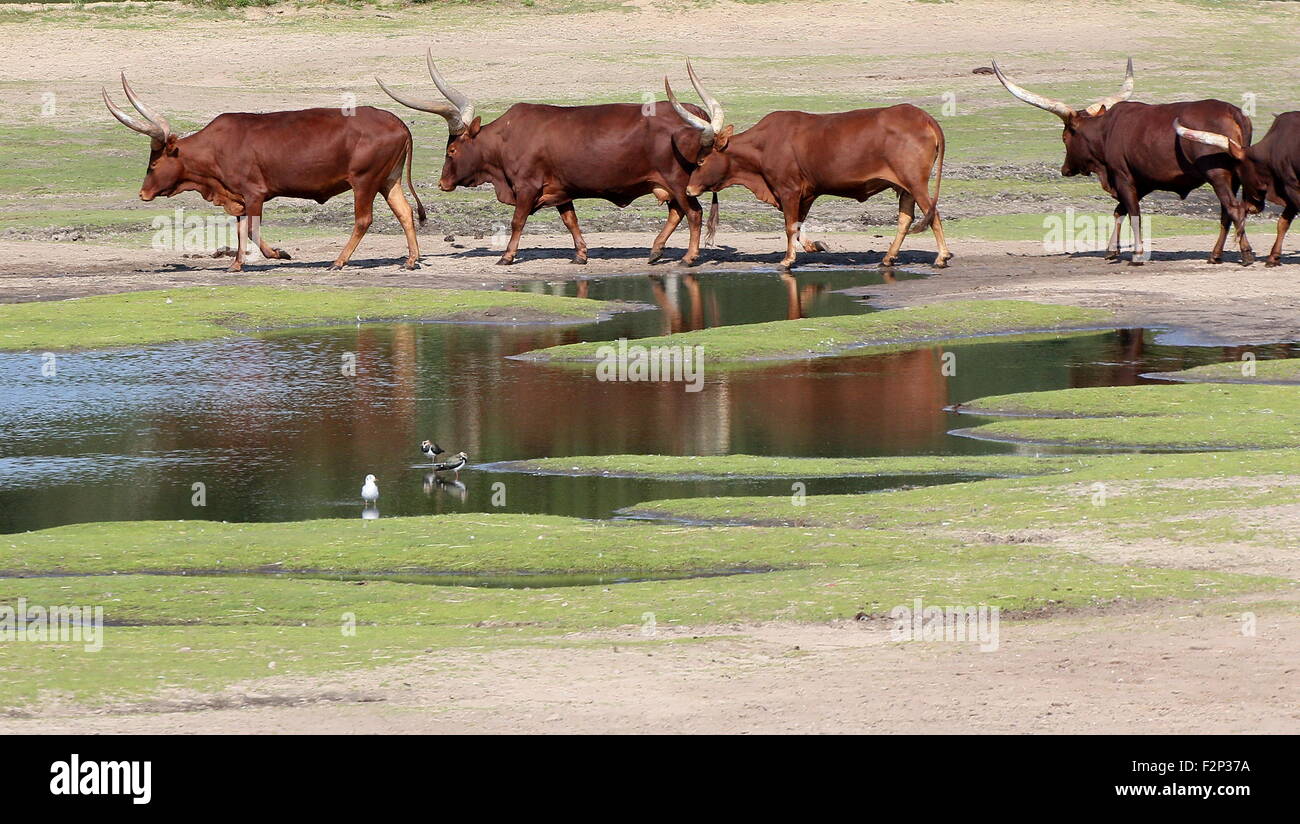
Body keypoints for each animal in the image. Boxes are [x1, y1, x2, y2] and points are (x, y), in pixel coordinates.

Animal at [103, 74, 425, 272]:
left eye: (154, 164)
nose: (143, 193)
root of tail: (397, 121)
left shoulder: (254, 193)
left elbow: (251, 230)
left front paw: (279, 254)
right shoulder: (238, 198)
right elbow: (239, 229)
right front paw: (236, 264)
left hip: (365, 181)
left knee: (363, 220)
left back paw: (338, 261)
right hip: (388, 180)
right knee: (405, 212)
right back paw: (411, 259)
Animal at [377, 51, 716, 266]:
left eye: (452, 151)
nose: (443, 182)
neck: (506, 138)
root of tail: (695, 113)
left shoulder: (526, 187)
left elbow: (517, 221)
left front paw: (507, 256)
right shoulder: (561, 190)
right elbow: (570, 221)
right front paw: (580, 254)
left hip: (678, 181)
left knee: (693, 213)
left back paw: (688, 258)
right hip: (668, 184)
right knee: (677, 213)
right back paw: (656, 251)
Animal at [665, 62, 951, 270]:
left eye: (701, 160)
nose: (688, 190)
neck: (764, 144)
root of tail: (924, 117)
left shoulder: (788, 190)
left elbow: (790, 225)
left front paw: (787, 260)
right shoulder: (808, 192)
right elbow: (799, 224)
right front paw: (816, 246)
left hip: (915, 182)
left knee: (933, 213)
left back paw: (941, 257)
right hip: (904, 186)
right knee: (906, 218)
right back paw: (888, 258)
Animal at [992, 59, 1255, 265]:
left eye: (1065, 137)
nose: (1065, 169)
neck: (1106, 131)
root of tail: (1234, 113)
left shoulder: (1122, 176)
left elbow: (1133, 212)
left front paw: (1137, 254)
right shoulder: (1143, 181)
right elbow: (1120, 210)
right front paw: (1111, 250)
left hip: (1217, 175)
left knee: (1233, 208)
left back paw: (1246, 254)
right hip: (1232, 177)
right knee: (1226, 213)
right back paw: (1215, 254)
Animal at [1174, 113, 1300, 266]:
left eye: (1238, 173)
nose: (1251, 207)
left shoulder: (1292, 186)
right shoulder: (1289, 189)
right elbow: (1283, 223)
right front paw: (1273, 258)